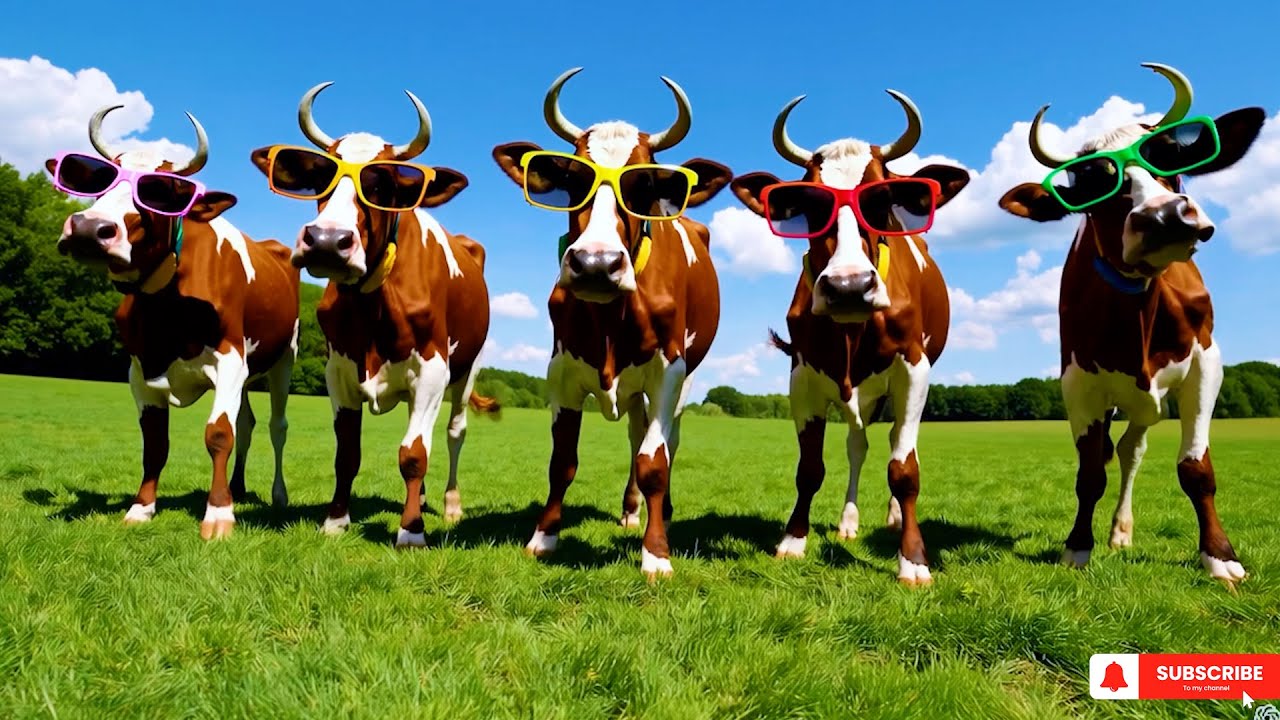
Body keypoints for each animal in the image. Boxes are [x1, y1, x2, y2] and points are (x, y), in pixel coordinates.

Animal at [47, 107, 300, 538]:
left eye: (162, 193)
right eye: (99, 182)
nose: (88, 229)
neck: (167, 310)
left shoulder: (230, 359)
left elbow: (219, 433)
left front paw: (218, 514)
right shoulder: (139, 370)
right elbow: (155, 444)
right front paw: (141, 507)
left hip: (283, 360)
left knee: (277, 427)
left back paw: (276, 495)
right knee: (247, 423)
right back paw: (237, 488)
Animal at [251, 84, 498, 547]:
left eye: (381, 183)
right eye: (321, 178)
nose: (326, 241)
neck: (372, 305)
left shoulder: (433, 370)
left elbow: (414, 454)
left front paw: (411, 530)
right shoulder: (338, 370)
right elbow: (347, 453)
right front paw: (335, 520)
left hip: (467, 370)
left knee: (454, 433)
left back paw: (450, 505)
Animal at [492, 68, 733, 579]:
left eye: (644, 185)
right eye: (573, 178)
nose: (596, 264)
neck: (609, 317)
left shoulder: (668, 372)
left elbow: (655, 463)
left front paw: (656, 553)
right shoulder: (560, 371)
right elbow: (562, 461)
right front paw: (544, 537)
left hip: (683, 384)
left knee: (665, 443)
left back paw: (661, 513)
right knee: (635, 435)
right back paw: (630, 510)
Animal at [729, 91, 971, 584]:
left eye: (881, 200)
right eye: (810, 206)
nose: (848, 286)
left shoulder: (914, 370)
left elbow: (904, 469)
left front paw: (912, 559)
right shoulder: (802, 375)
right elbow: (810, 467)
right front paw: (793, 539)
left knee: (898, 443)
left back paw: (894, 518)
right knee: (857, 447)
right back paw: (848, 521)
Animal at [997, 63, 1266, 589]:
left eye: (1170, 154)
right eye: (1090, 186)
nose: (1163, 216)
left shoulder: (1207, 364)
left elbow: (1195, 468)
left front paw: (1219, 556)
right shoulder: (1078, 382)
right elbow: (1089, 474)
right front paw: (1077, 547)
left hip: (1149, 403)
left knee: (1132, 451)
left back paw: (1122, 531)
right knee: (1114, 452)